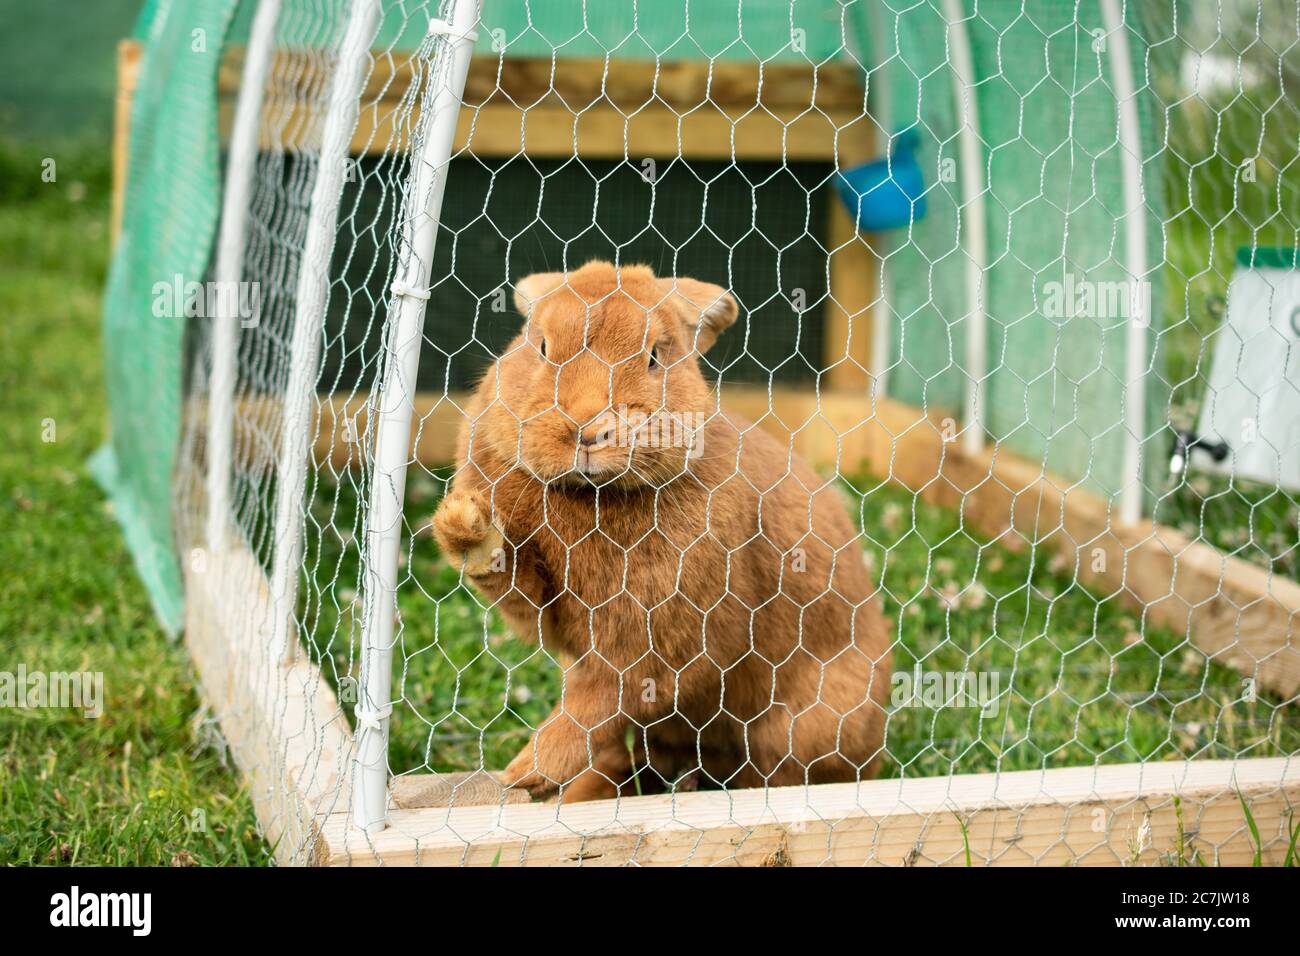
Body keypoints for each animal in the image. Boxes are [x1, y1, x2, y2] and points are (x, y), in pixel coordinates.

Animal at [431, 260, 892, 802]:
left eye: (654, 356)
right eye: (540, 346)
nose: (589, 429)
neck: (592, 495)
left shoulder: (664, 637)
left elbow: (604, 700)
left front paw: (528, 771)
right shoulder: (551, 609)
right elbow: (515, 588)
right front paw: (461, 522)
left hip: (803, 728)